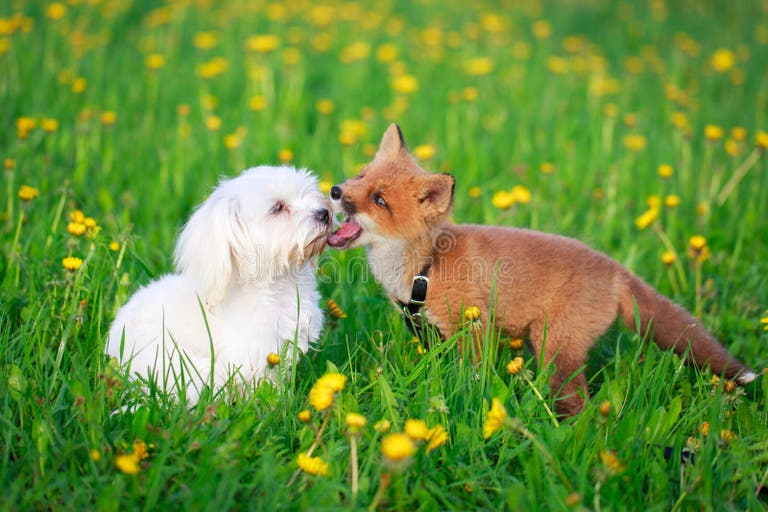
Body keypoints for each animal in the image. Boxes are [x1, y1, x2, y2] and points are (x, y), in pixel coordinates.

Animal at [327, 123, 756, 415]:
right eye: (361, 177)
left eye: (380, 200)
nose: (335, 190)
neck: (426, 265)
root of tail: (615, 268)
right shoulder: (430, 331)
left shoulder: (474, 325)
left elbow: (472, 375)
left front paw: (469, 396)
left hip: (556, 350)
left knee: (580, 404)